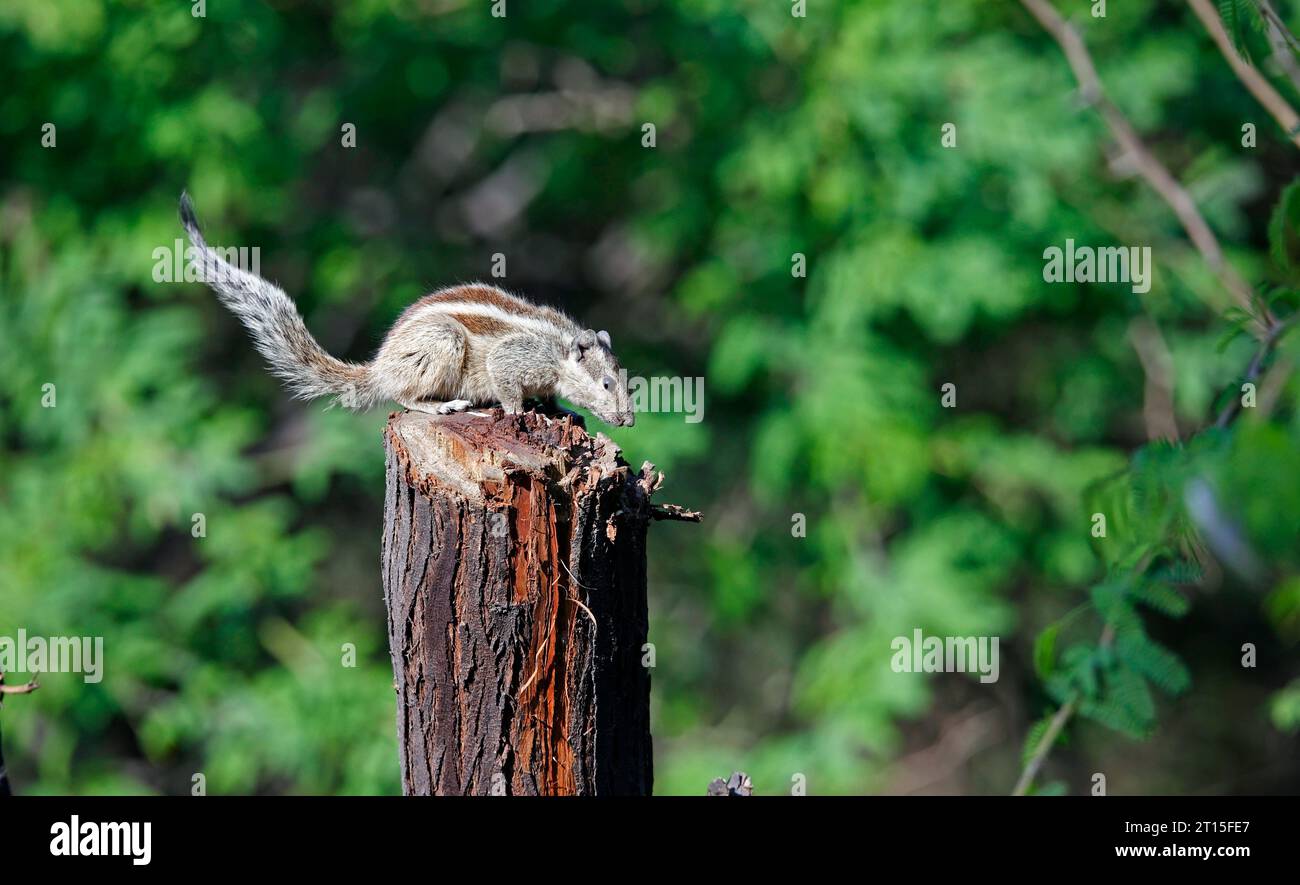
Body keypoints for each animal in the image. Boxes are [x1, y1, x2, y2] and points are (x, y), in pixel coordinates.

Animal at [179, 193, 634, 426]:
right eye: (607, 384)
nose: (628, 421)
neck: (558, 349)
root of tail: (378, 369)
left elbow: (552, 398)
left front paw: (558, 411)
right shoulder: (515, 357)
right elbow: (506, 386)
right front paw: (522, 413)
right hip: (440, 344)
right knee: (402, 397)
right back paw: (441, 405)